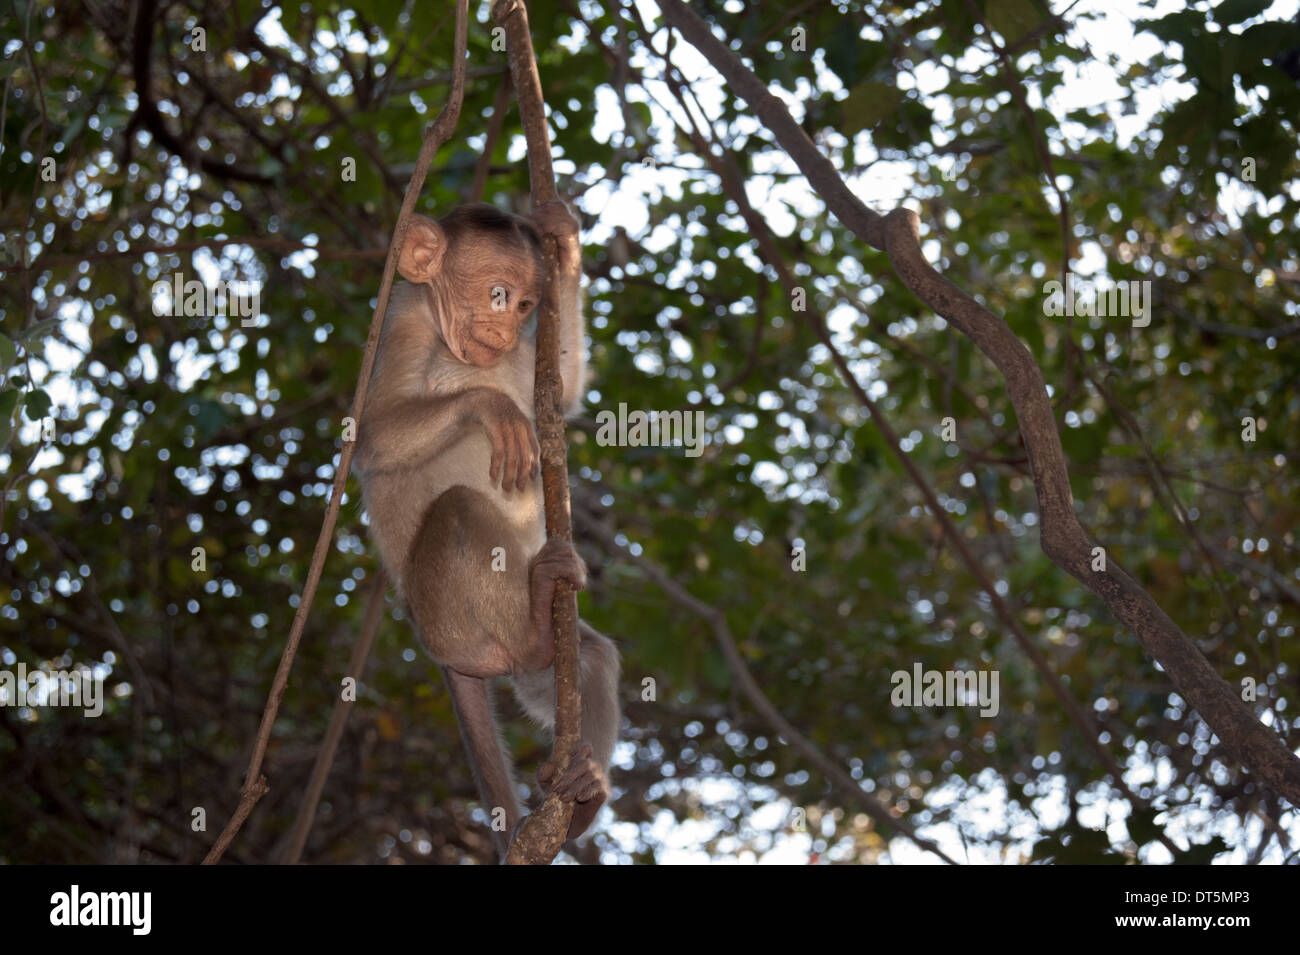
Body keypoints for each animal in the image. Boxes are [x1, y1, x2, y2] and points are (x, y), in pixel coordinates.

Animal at [353, 200, 620, 860]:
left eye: (527, 306)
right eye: (498, 295)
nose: (503, 333)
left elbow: (561, 391)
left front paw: (564, 242)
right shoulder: (403, 323)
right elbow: (369, 436)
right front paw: (491, 408)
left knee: (593, 657)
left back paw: (582, 794)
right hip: (448, 622)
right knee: (456, 510)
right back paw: (533, 635)